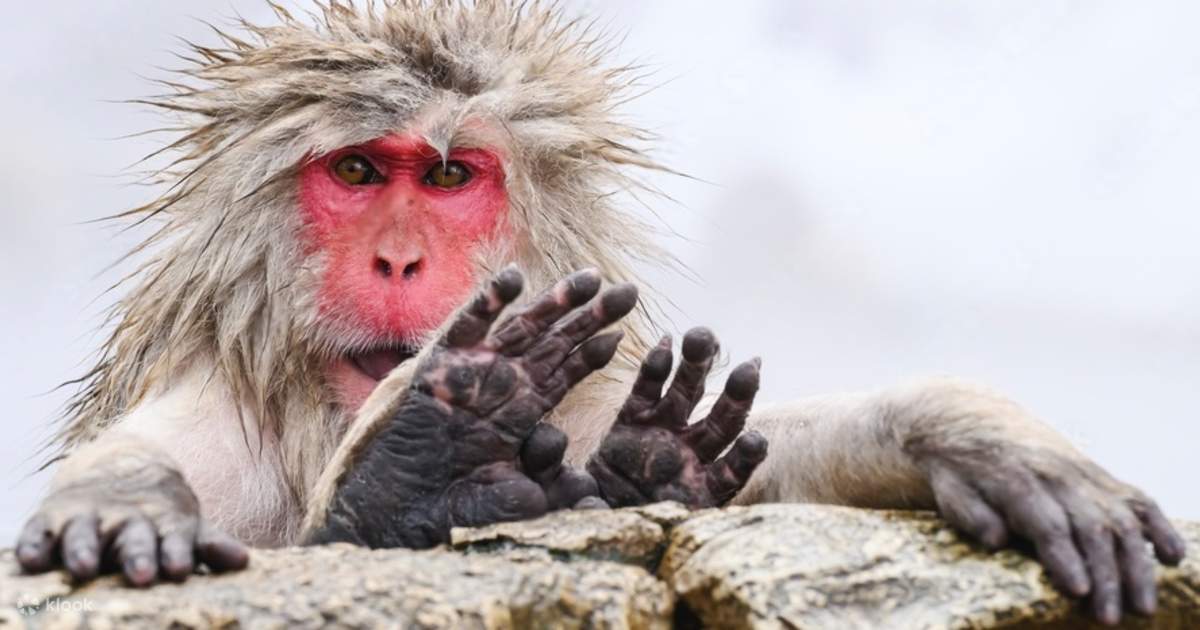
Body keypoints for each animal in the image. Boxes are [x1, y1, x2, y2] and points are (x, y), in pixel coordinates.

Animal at [13, 2, 1183, 625]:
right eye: (357, 171)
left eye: (448, 177)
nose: (398, 257)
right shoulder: (221, 412)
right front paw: (120, 504)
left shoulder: (575, 394)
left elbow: (783, 464)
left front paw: (964, 432)